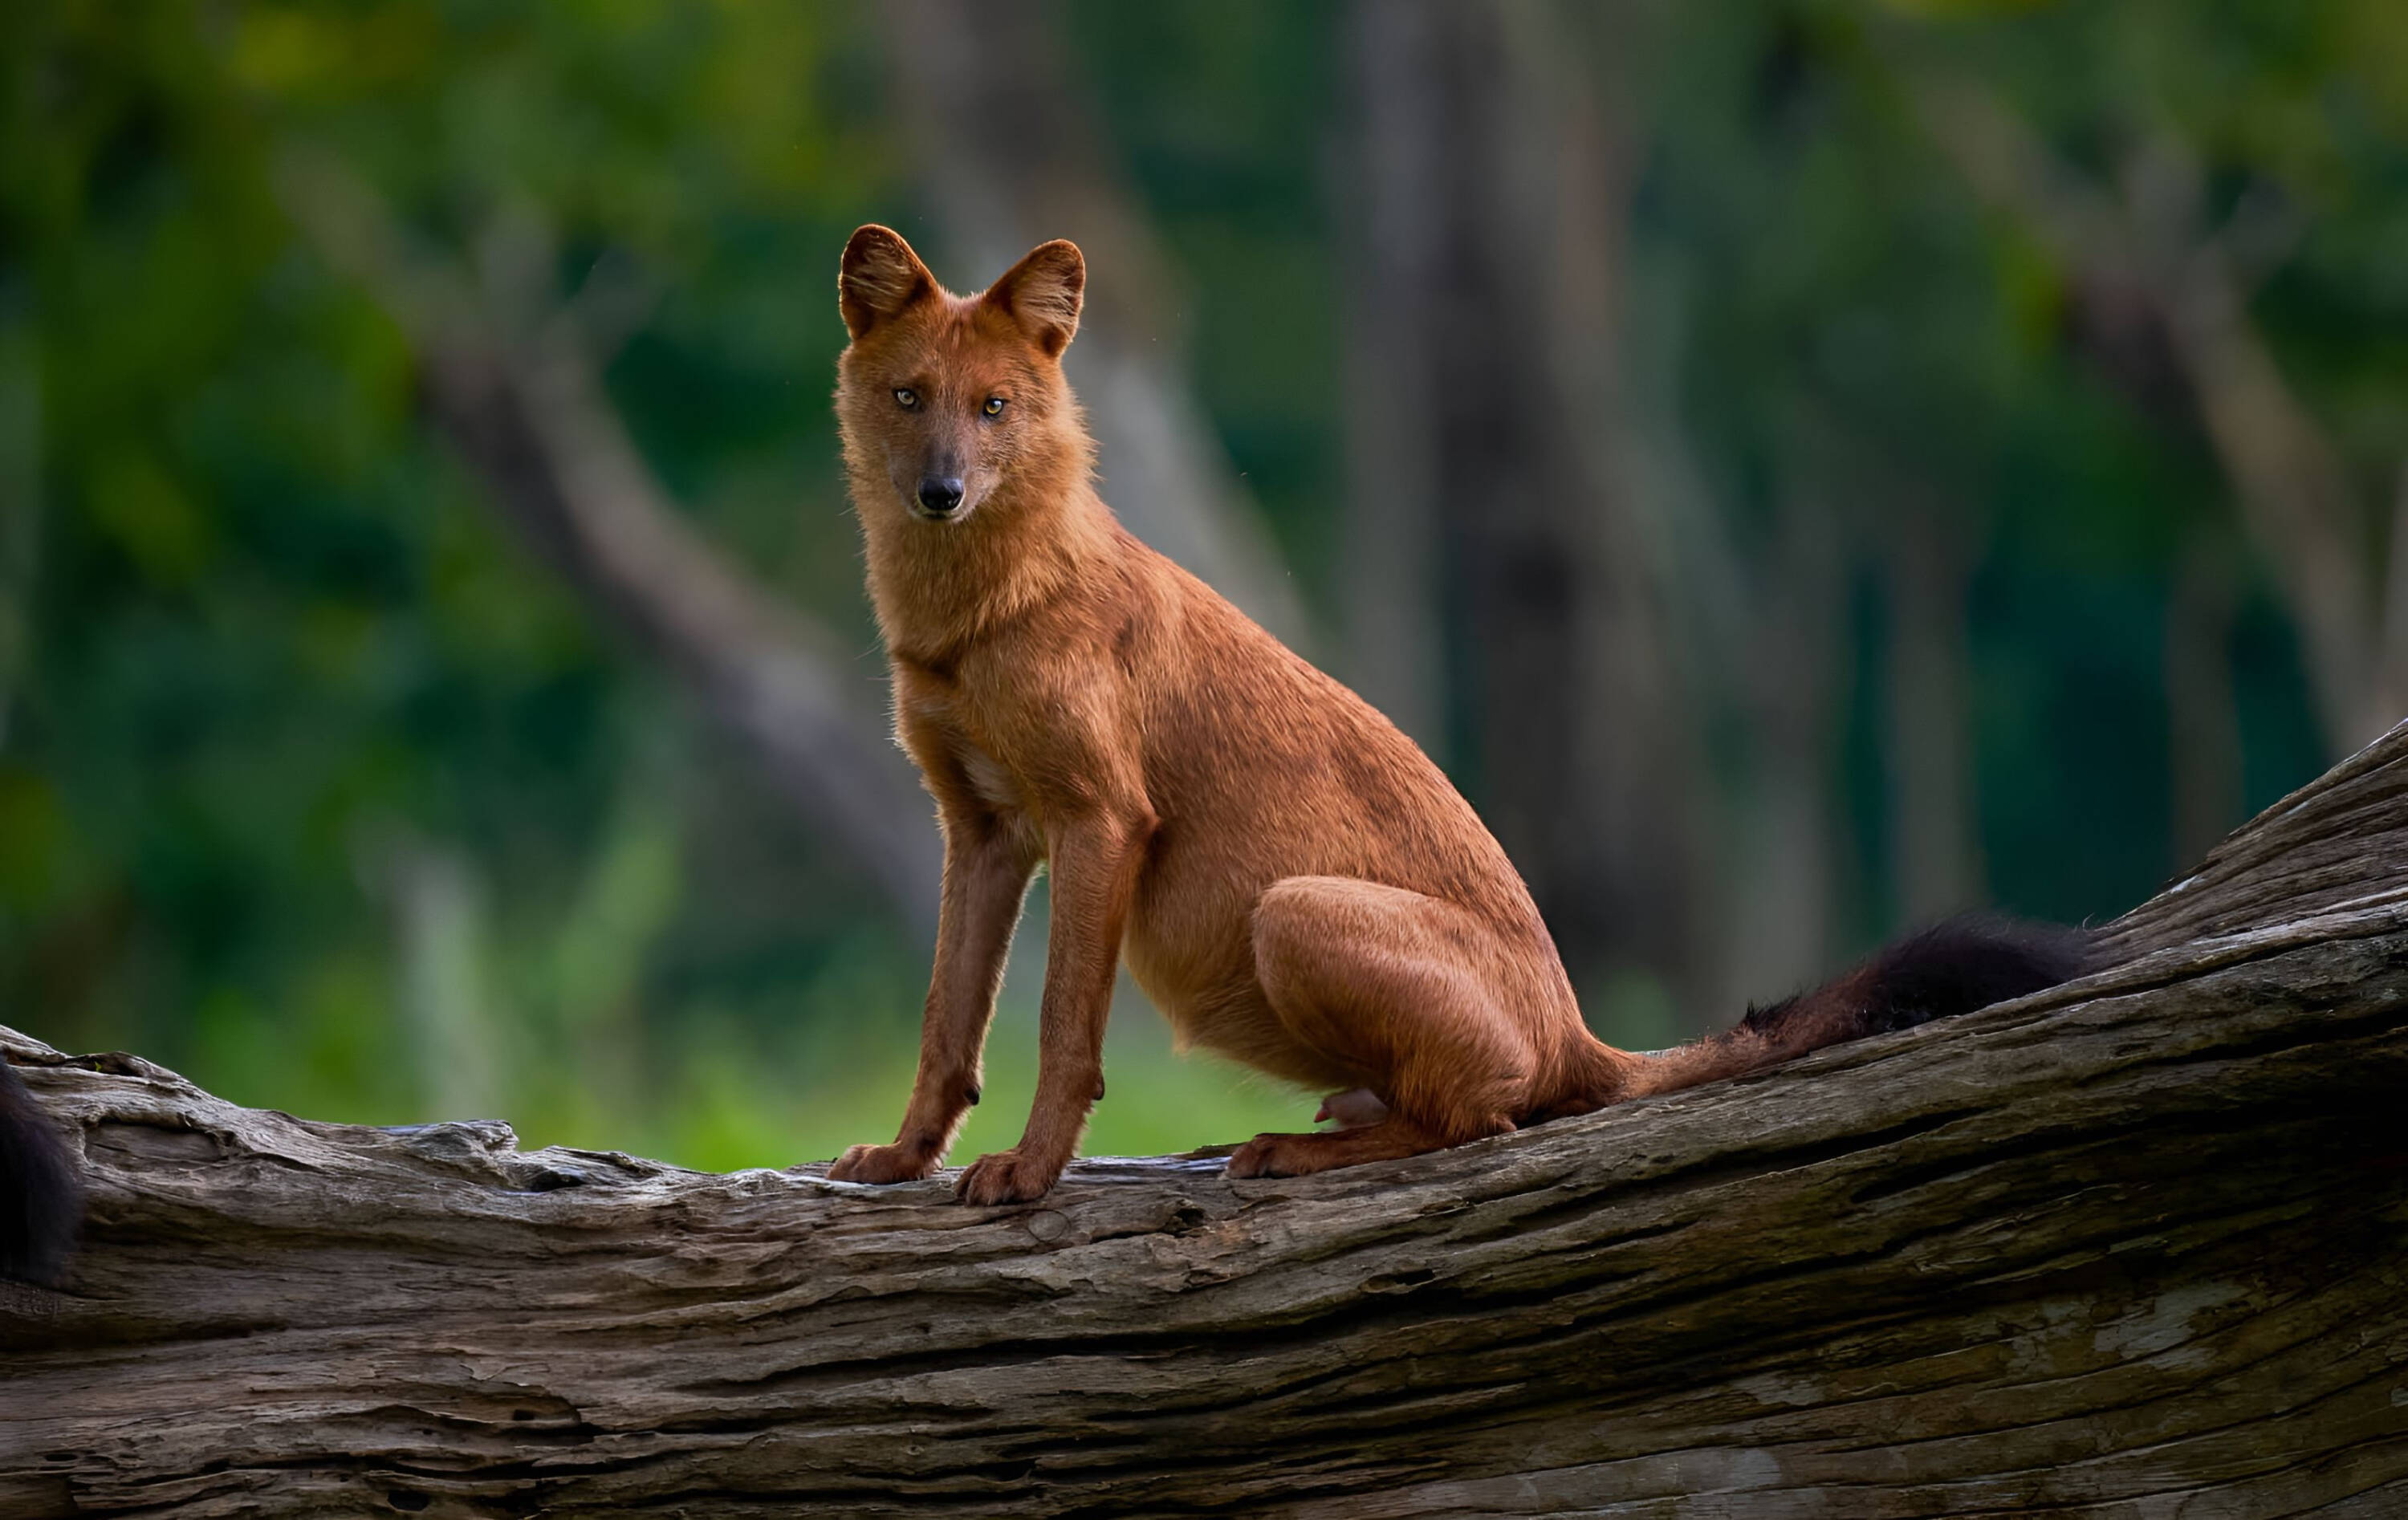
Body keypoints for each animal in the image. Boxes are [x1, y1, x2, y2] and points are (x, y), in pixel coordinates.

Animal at [824, 224, 2092, 1206]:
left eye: (995, 407)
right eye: (908, 399)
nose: (940, 491)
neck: (976, 615)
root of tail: (1580, 1030)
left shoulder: (1100, 821)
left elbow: (1061, 1029)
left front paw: (1029, 1173)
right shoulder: (982, 829)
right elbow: (948, 1017)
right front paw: (904, 1157)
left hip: (1296, 909)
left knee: (1486, 1121)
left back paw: (1289, 1148)